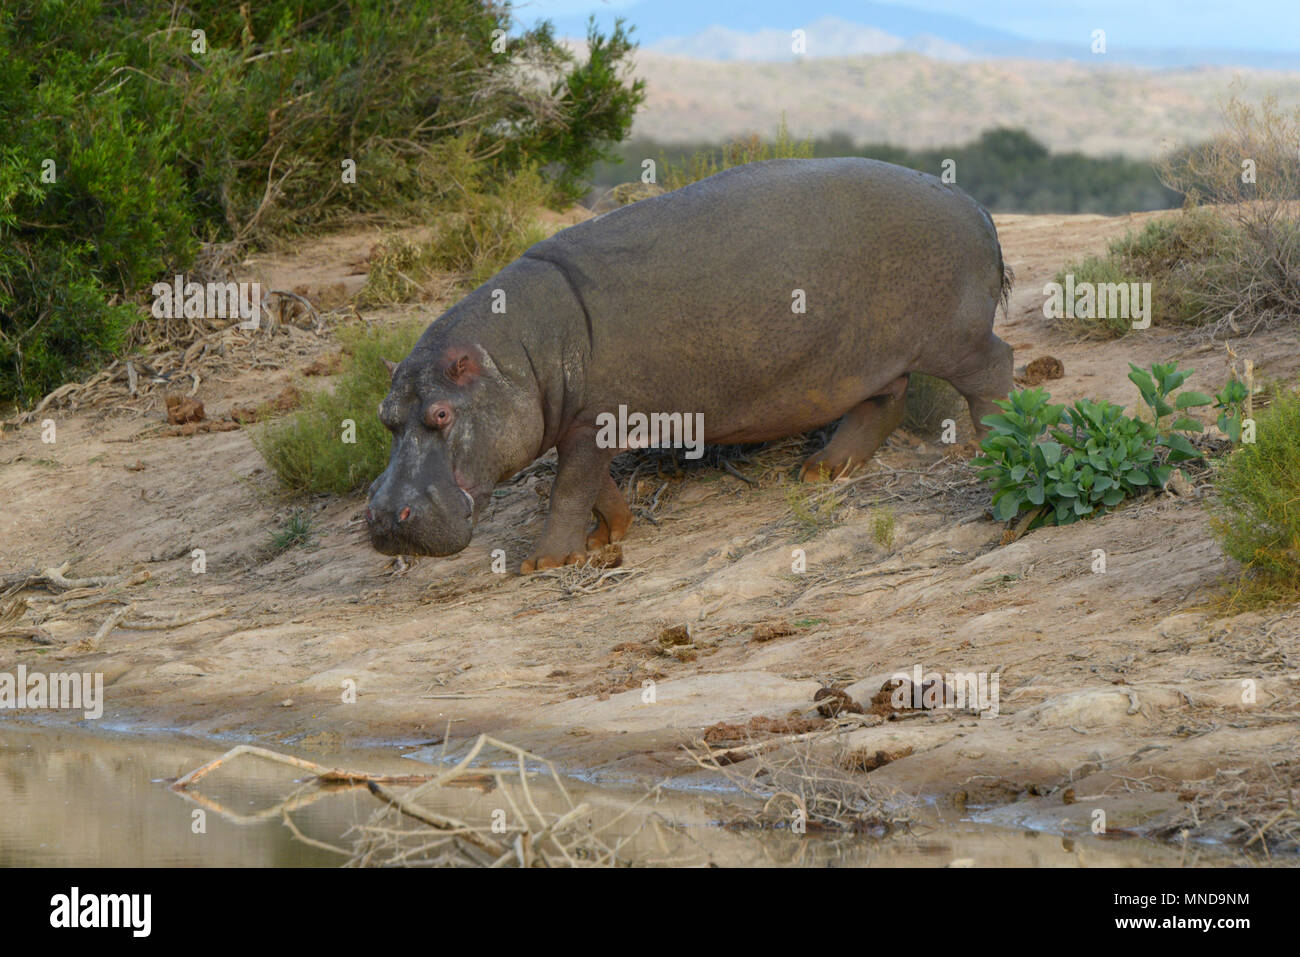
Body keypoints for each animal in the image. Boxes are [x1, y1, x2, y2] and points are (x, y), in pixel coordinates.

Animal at [366, 156, 1013, 566]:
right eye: (384, 416)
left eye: (442, 415)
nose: (383, 518)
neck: (515, 357)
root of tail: (976, 205)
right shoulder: (581, 426)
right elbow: (593, 487)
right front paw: (608, 538)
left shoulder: (590, 422)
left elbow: (568, 488)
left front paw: (544, 564)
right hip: (864, 361)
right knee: (885, 401)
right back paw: (821, 472)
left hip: (955, 338)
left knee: (995, 368)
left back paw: (996, 443)